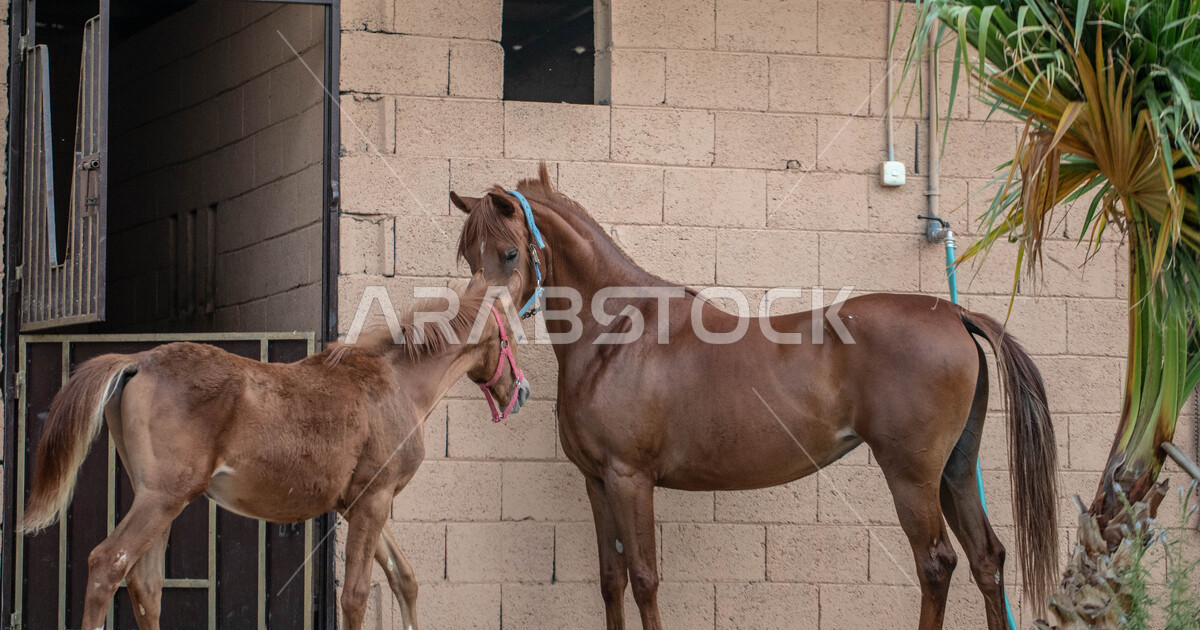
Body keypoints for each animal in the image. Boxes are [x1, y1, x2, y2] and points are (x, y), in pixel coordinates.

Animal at [18, 271, 532, 630]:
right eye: (512, 335)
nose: (521, 392)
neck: (395, 383)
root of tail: (137, 360)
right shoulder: (374, 500)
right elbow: (357, 596)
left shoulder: (360, 504)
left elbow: (403, 580)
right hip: (163, 498)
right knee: (108, 565)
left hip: (159, 500)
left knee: (144, 583)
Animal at [450, 165, 1059, 630]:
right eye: (467, 255)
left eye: (509, 253)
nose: (477, 329)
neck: (615, 335)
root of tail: (956, 313)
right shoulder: (597, 482)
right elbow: (611, 580)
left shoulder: (629, 478)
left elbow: (644, 578)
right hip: (956, 469)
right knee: (986, 558)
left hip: (911, 475)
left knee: (936, 564)